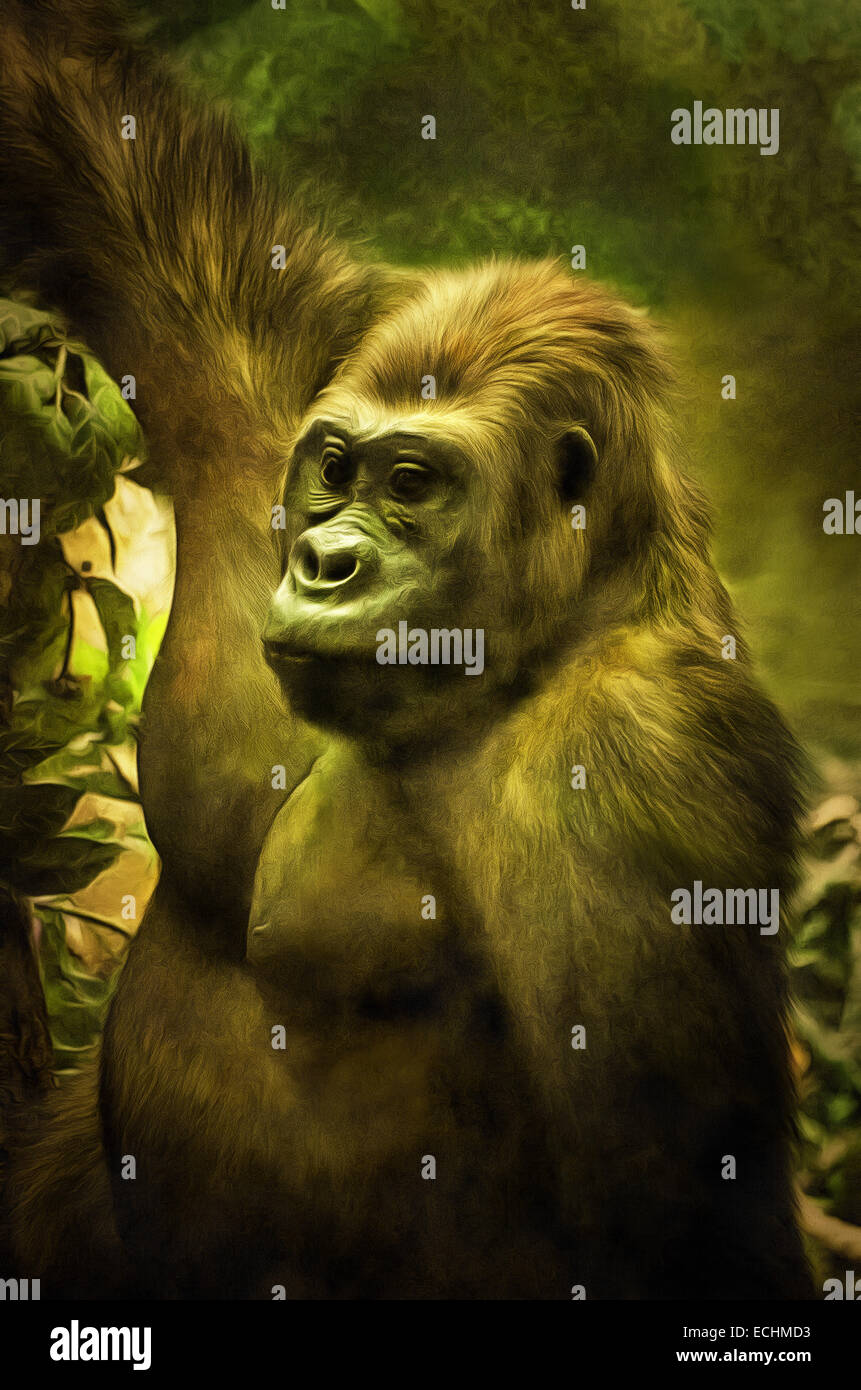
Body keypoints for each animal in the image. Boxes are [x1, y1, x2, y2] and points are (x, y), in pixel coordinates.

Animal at [0, 2, 813, 1298]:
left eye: (416, 486)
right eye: (338, 467)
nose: (325, 561)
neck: (549, 635)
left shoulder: (648, 761)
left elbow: (672, 1206)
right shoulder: (279, 374)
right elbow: (97, 162)